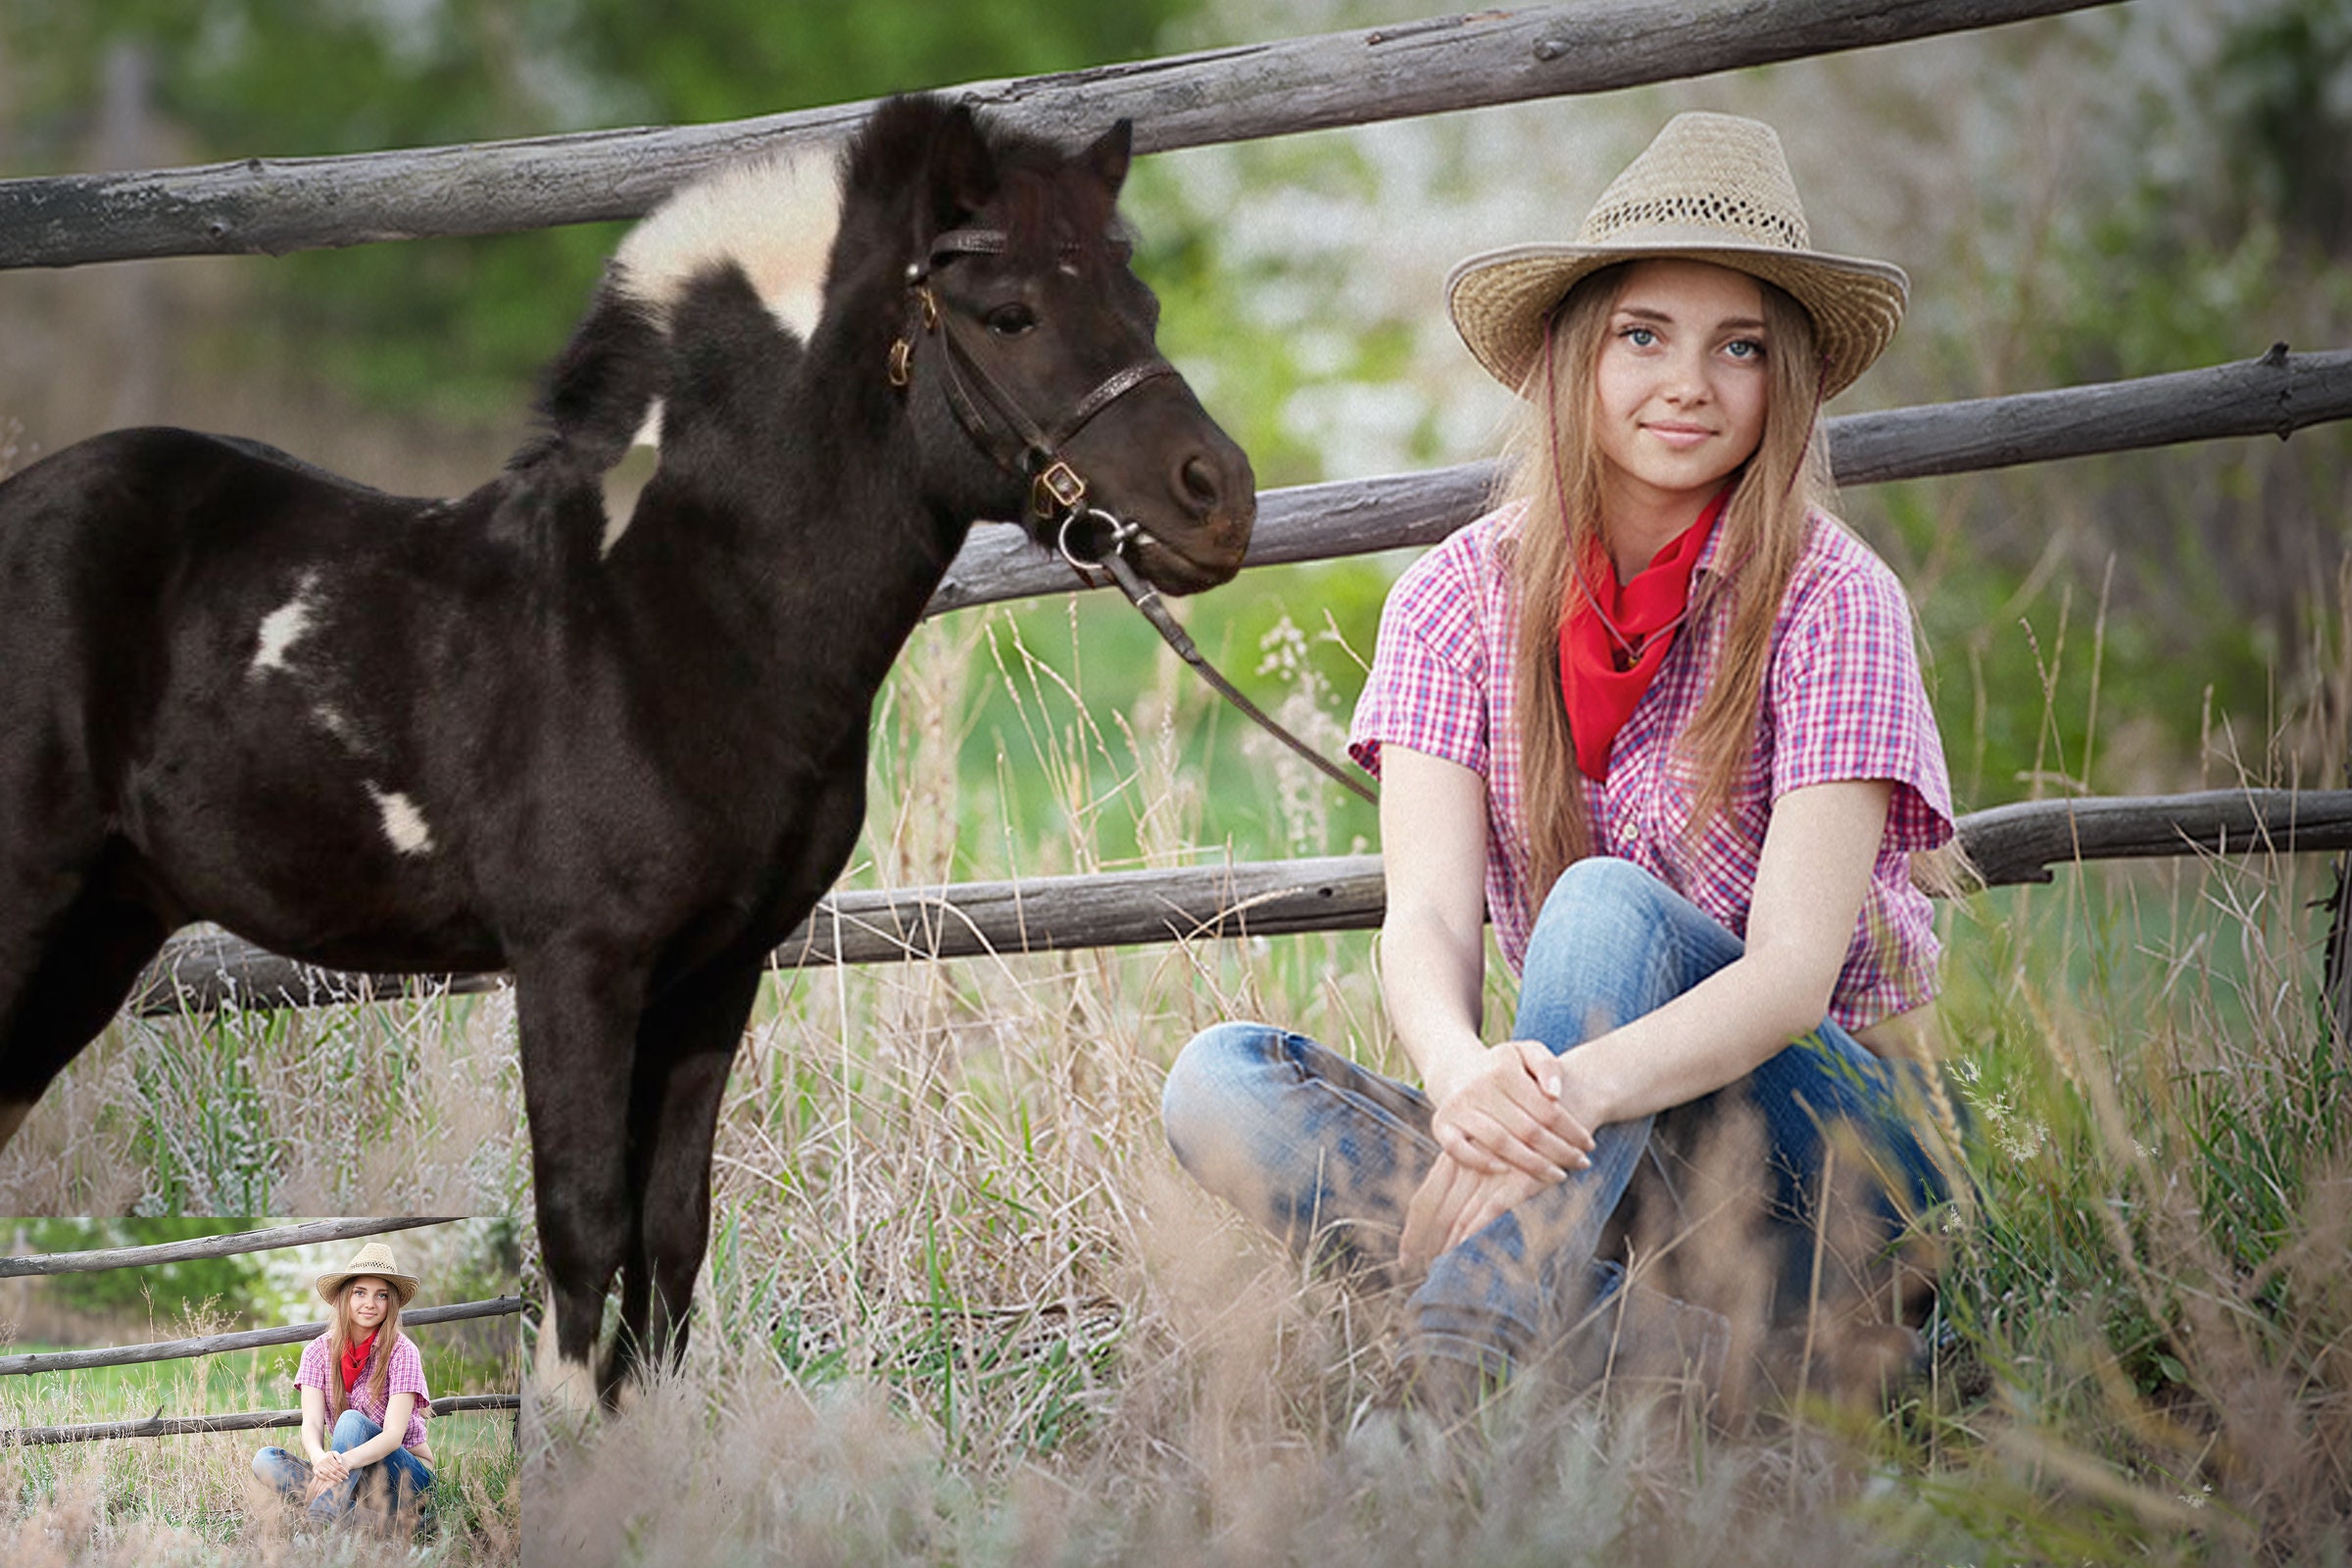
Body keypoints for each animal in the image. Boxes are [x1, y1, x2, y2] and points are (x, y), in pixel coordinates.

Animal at [0, 93, 1255, 1405]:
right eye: (1009, 314)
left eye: (1141, 303)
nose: (1218, 498)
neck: (670, 614)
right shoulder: (576, 962)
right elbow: (581, 1228)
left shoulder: (719, 969)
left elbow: (671, 1235)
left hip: (102, 927)